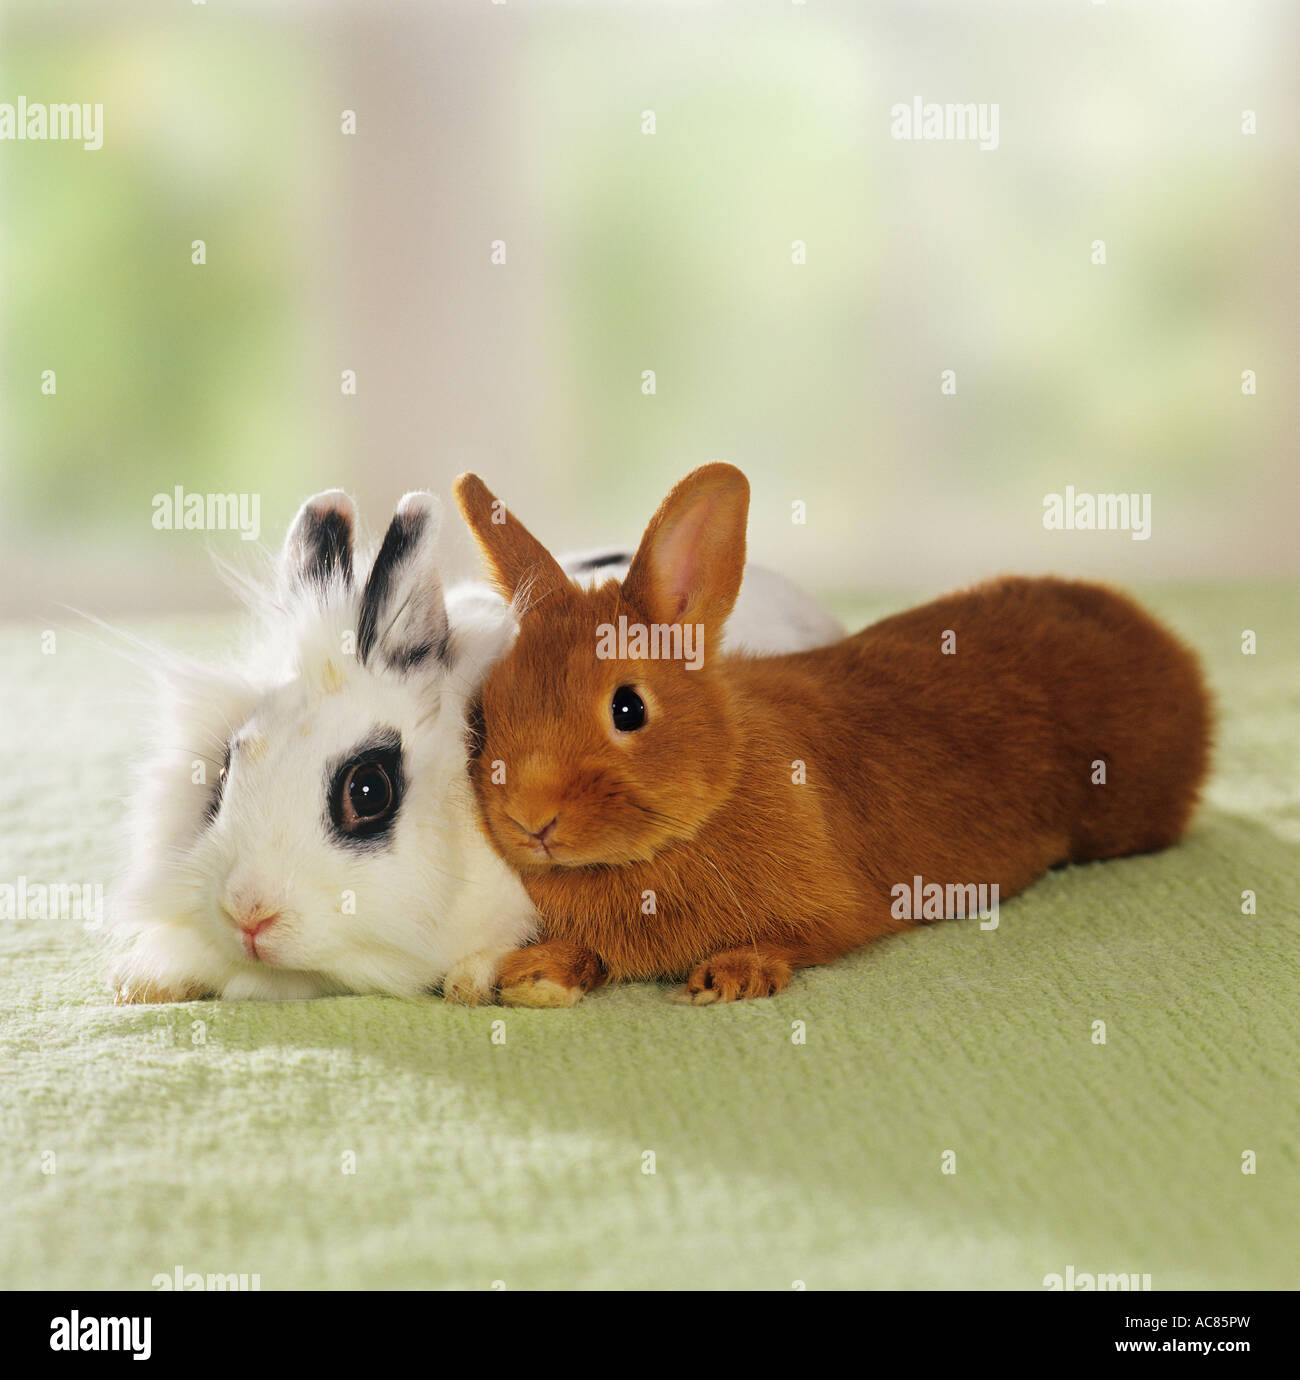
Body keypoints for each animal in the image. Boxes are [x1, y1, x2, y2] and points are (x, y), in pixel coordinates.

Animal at [452, 462, 1213, 1007]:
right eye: (488, 708)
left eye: (629, 708)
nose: (530, 820)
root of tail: (1169, 648)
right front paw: (533, 975)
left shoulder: (835, 910)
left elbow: (803, 939)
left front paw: (731, 976)